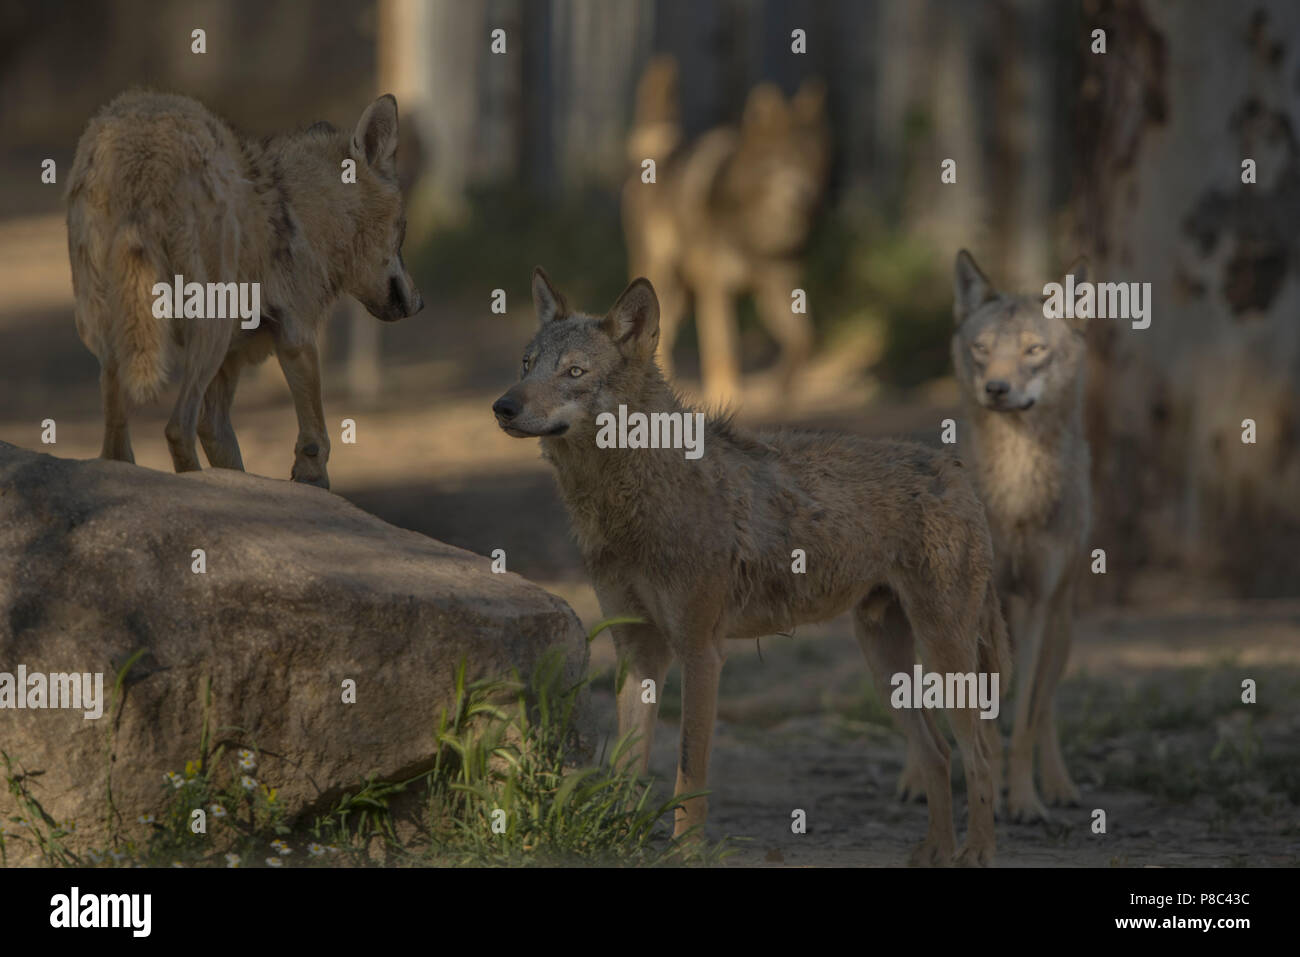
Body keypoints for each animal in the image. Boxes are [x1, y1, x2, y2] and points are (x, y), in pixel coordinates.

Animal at [66, 90, 423, 488]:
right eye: (403, 228)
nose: (420, 302)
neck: (303, 211)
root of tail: (142, 150)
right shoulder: (297, 336)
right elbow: (317, 436)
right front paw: (309, 476)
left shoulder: (232, 363)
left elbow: (221, 442)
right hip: (209, 332)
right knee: (176, 428)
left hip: (113, 340)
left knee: (117, 443)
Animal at [493, 268, 1012, 865]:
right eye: (526, 364)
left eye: (574, 372)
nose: (502, 407)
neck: (630, 500)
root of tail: (955, 468)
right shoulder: (638, 651)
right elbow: (626, 764)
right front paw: (617, 838)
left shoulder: (702, 653)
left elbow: (688, 771)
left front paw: (684, 851)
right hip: (886, 664)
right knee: (938, 753)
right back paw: (936, 852)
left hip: (945, 655)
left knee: (980, 755)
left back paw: (976, 852)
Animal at [621, 56, 830, 406]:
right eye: (783, 161)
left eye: (812, 160)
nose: (807, 195)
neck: (754, 230)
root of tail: (662, 149)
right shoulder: (717, 290)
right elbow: (724, 347)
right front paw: (728, 393)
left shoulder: (778, 288)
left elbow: (804, 339)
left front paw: (782, 387)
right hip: (662, 280)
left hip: (681, 295)